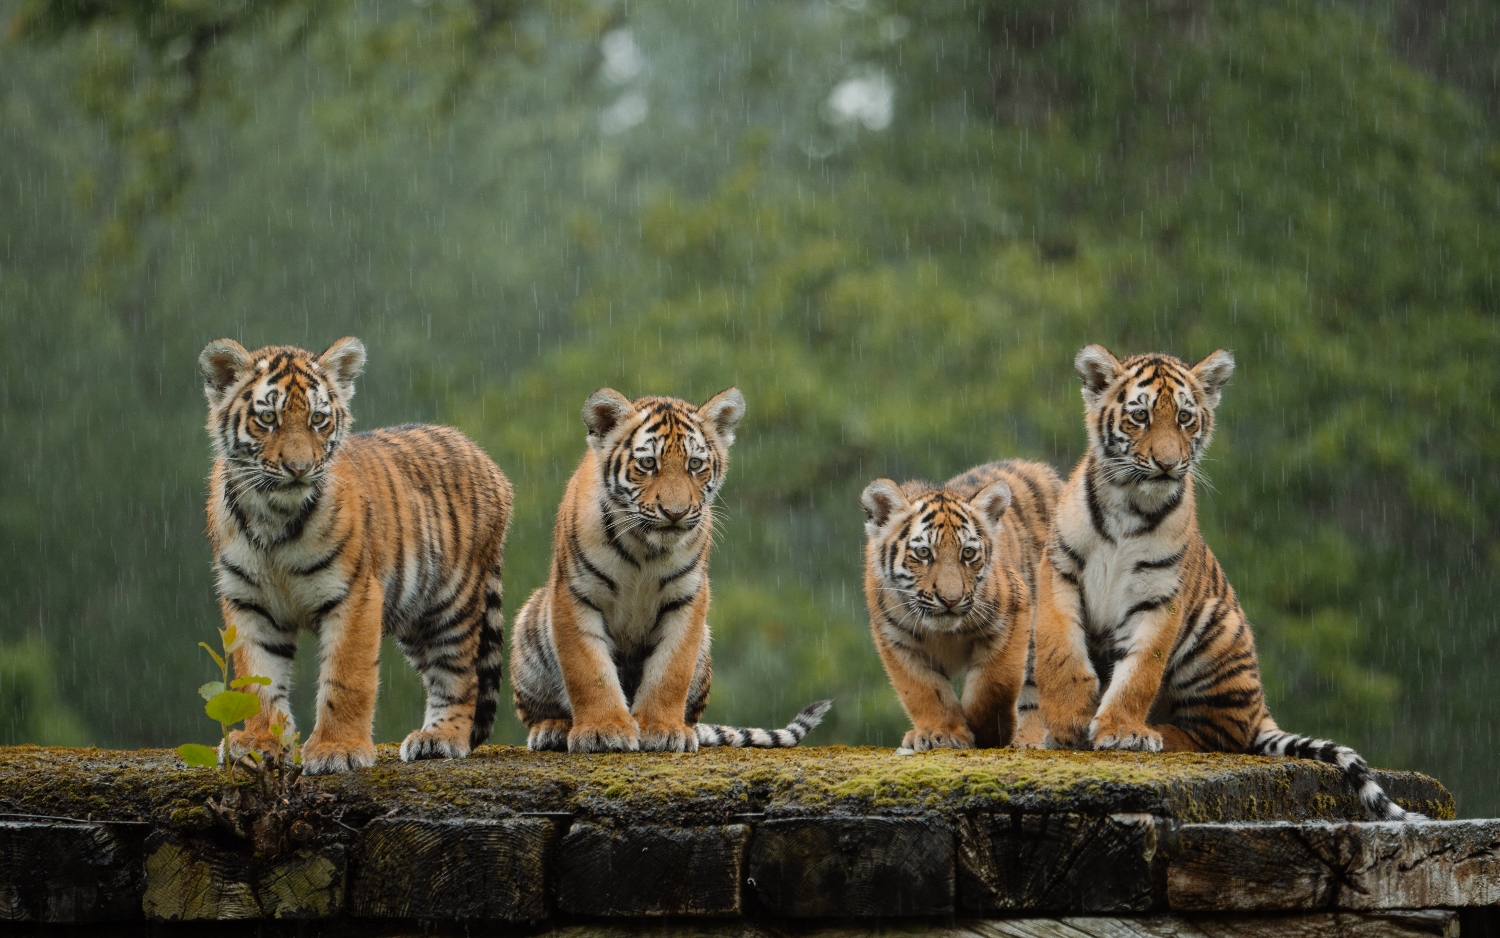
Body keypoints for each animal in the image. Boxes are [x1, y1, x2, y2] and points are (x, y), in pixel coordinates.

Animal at [198, 337, 513, 775]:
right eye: (267, 418)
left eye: (317, 419)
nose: (299, 468)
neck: (273, 516)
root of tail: (485, 459)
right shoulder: (248, 601)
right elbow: (256, 678)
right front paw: (259, 744)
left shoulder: (354, 595)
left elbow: (346, 677)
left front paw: (338, 749)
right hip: (414, 616)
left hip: (452, 604)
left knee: (459, 675)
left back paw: (441, 738)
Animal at [510, 387, 830, 753]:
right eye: (648, 463)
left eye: (695, 464)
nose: (675, 513)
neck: (643, 548)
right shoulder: (575, 592)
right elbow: (589, 670)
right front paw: (603, 730)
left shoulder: (688, 596)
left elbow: (671, 670)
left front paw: (662, 729)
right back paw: (553, 728)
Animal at [862, 460, 1060, 751]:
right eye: (923, 553)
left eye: (968, 553)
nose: (950, 600)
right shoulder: (895, 638)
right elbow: (924, 689)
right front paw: (939, 733)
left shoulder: (1013, 613)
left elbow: (993, 685)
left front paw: (992, 733)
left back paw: (1032, 740)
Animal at [1032, 344, 1423, 820]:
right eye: (1140, 416)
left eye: (1185, 418)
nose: (1167, 464)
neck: (1130, 502)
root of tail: (1262, 709)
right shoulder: (1060, 573)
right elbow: (1061, 654)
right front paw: (1068, 726)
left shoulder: (1161, 596)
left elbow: (1139, 671)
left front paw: (1122, 731)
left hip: (1217, 633)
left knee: (1219, 737)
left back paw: (1158, 734)